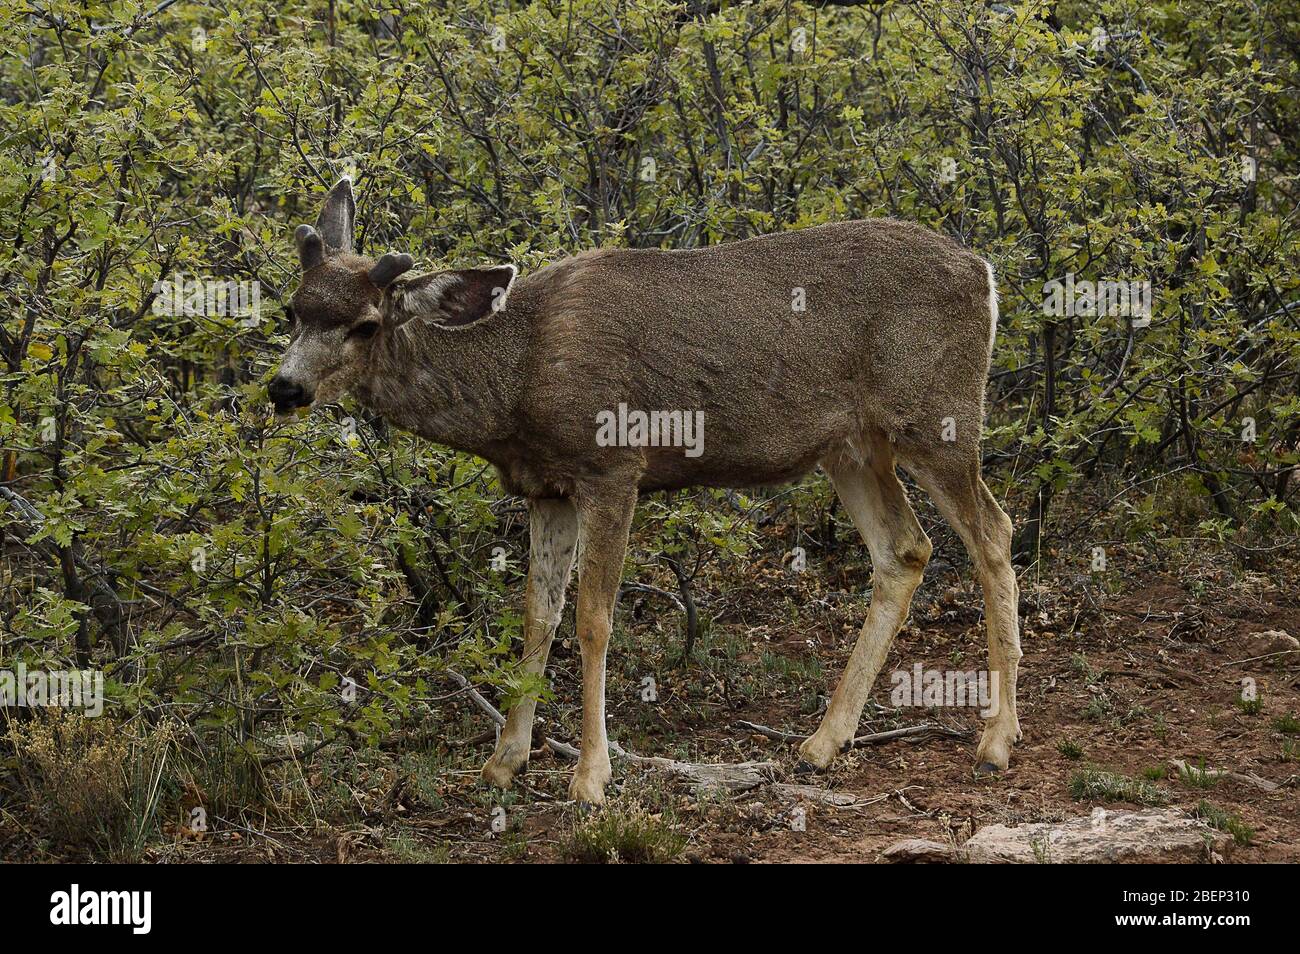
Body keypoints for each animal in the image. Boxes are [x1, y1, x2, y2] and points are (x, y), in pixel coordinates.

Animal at [270, 177, 1021, 805]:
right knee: (906, 549)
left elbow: (593, 620)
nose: (284, 388)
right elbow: (538, 615)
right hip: (852, 447)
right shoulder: (546, 488)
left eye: (366, 324)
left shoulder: (611, 466)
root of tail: (985, 273)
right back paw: (822, 742)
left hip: (937, 415)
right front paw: (504, 760)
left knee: (994, 532)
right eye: (290, 310)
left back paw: (996, 739)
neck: (514, 386)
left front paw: (590, 776)